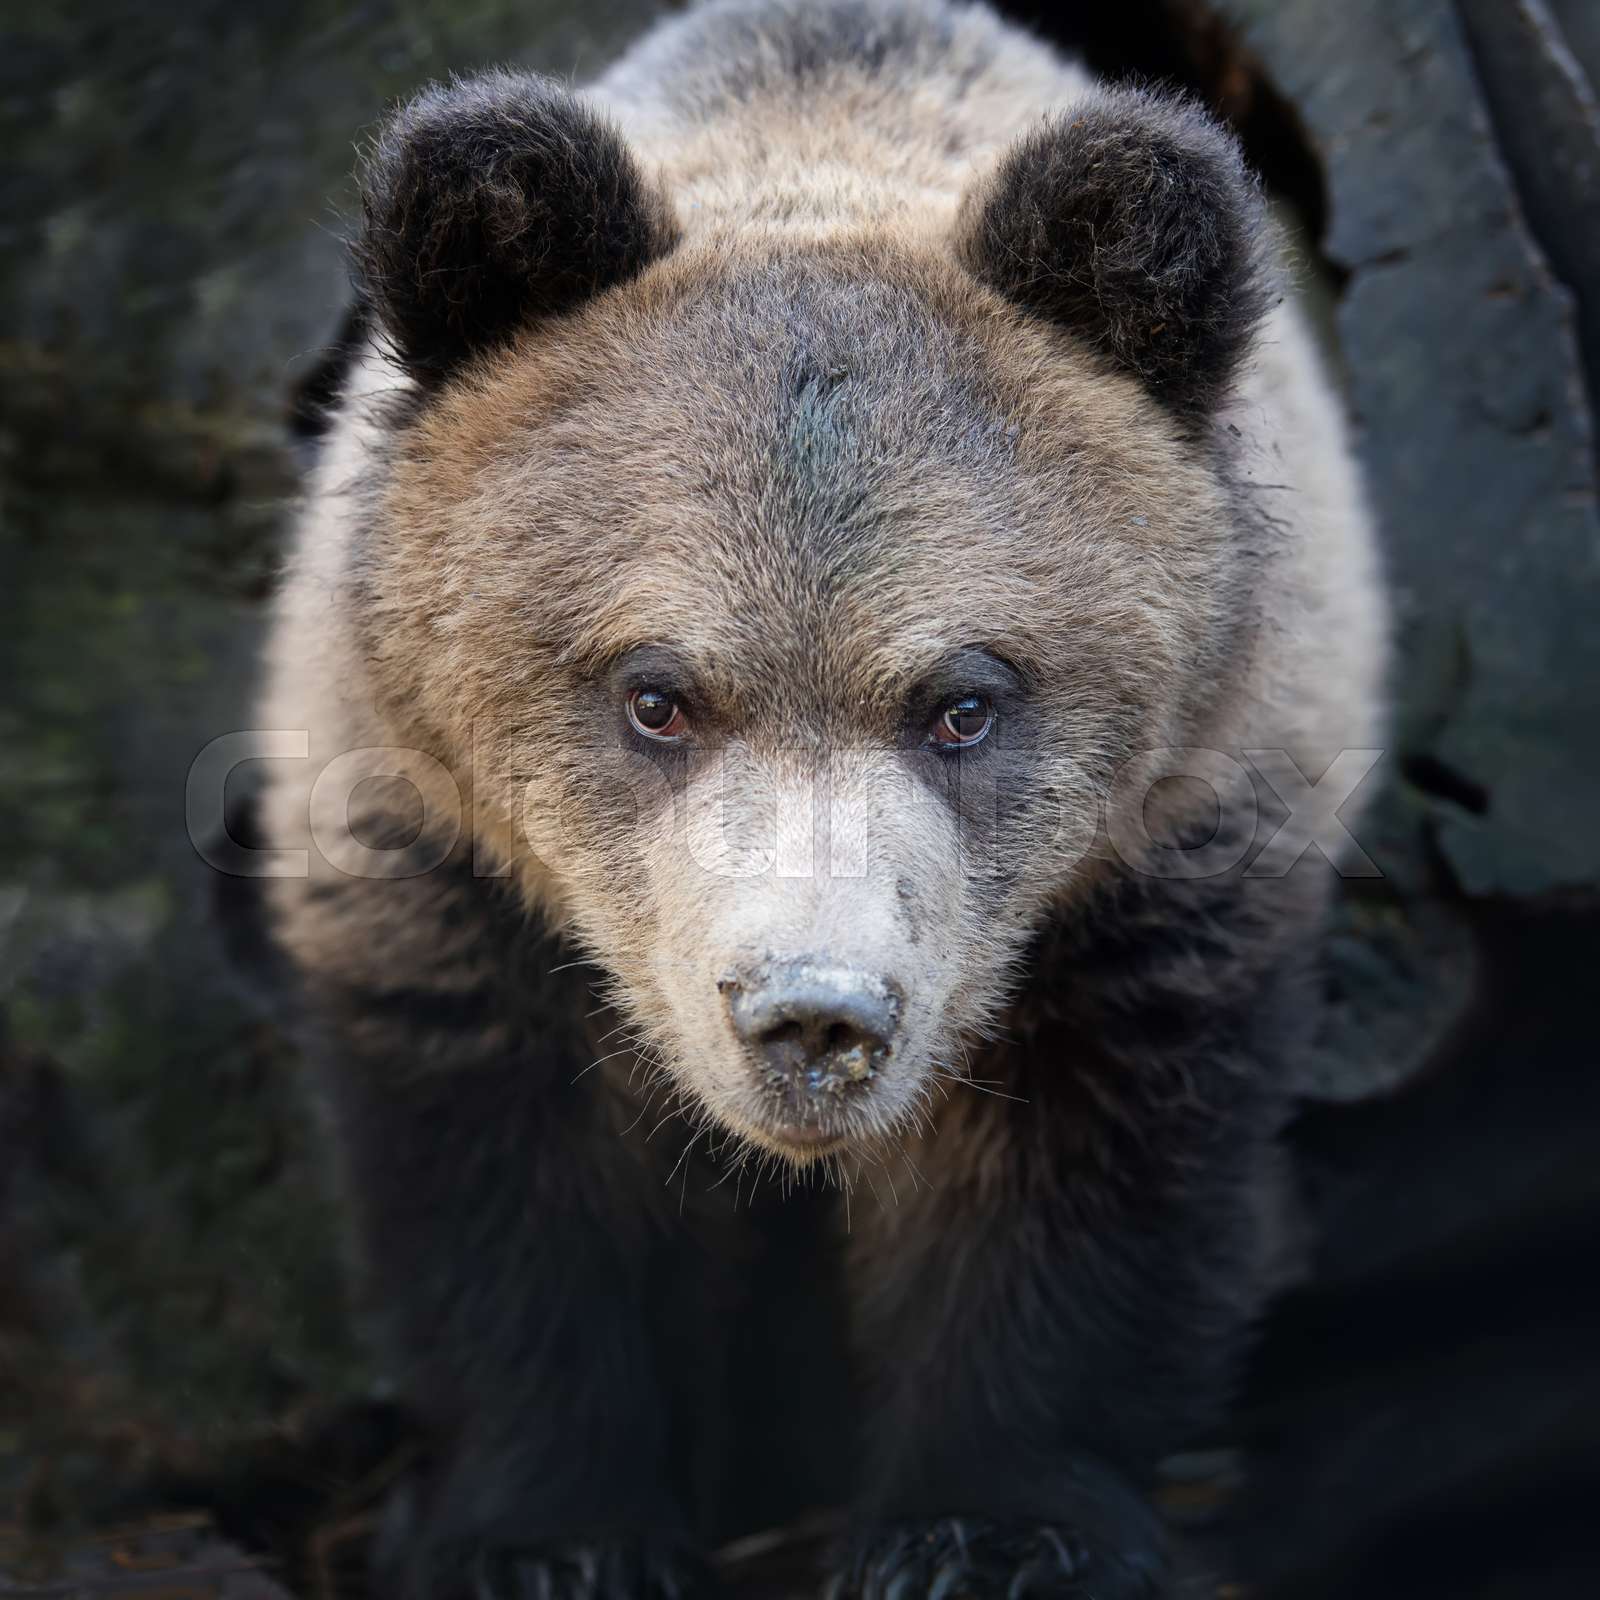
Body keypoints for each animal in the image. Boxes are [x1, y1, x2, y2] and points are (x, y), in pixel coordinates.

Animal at [255, 1, 1387, 1595]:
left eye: (964, 701)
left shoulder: (1153, 875)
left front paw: (991, 1527)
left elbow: (1082, 1184)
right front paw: (548, 1531)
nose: (812, 1017)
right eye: (655, 693)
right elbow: (508, 1189)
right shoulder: (440, 865)